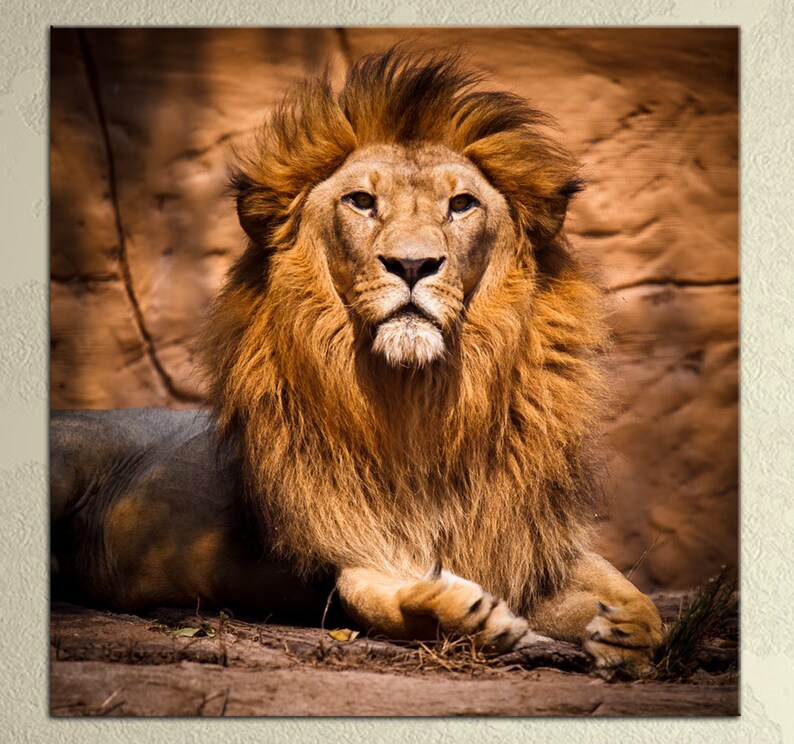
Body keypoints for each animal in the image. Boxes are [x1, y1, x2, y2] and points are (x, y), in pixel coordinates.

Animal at [51, 49, 663, 673]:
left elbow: (631, 598)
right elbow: (386, 597)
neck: (418, 401)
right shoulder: (353, 549)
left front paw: (624, 628)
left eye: (461, 204)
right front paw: (472, 613)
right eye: (362, 202)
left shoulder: (527, 539)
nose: (412, 265)